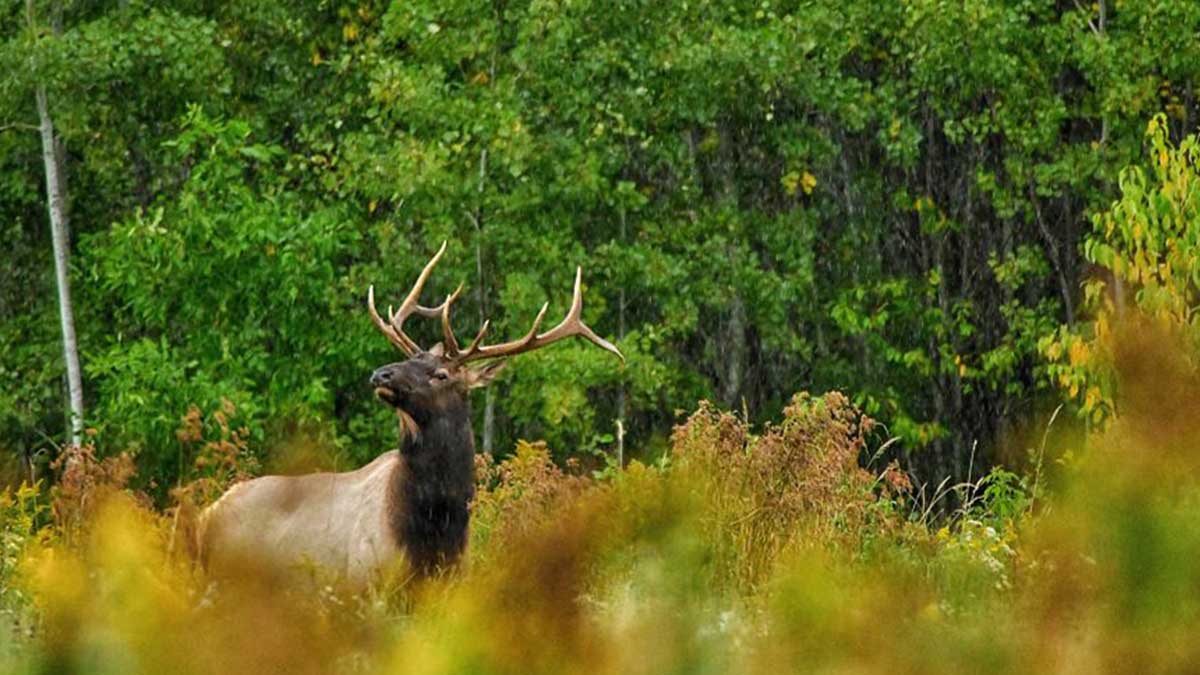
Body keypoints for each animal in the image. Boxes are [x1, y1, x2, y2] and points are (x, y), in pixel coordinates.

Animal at [197, 241, 623, 586]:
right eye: (408, 359)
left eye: (441, 374)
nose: (380, 373)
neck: (434, 528)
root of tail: (204, 516)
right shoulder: (366, 583)